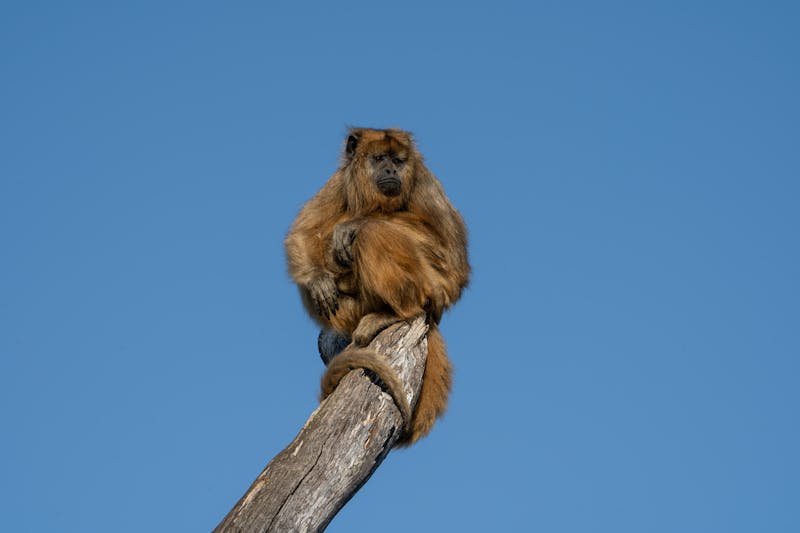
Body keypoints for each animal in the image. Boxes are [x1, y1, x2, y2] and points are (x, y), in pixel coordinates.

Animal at [285, 127, 469, 445]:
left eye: (398, 160)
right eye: (380, 158)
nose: (391, 170)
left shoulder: (424, 180)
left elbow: (453, 257)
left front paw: (353, 225)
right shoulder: (340, 180)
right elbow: (301, 232)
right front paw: (317, 278)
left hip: (430, 289)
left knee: (372, 233)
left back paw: (393, 312)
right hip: (351, 310)